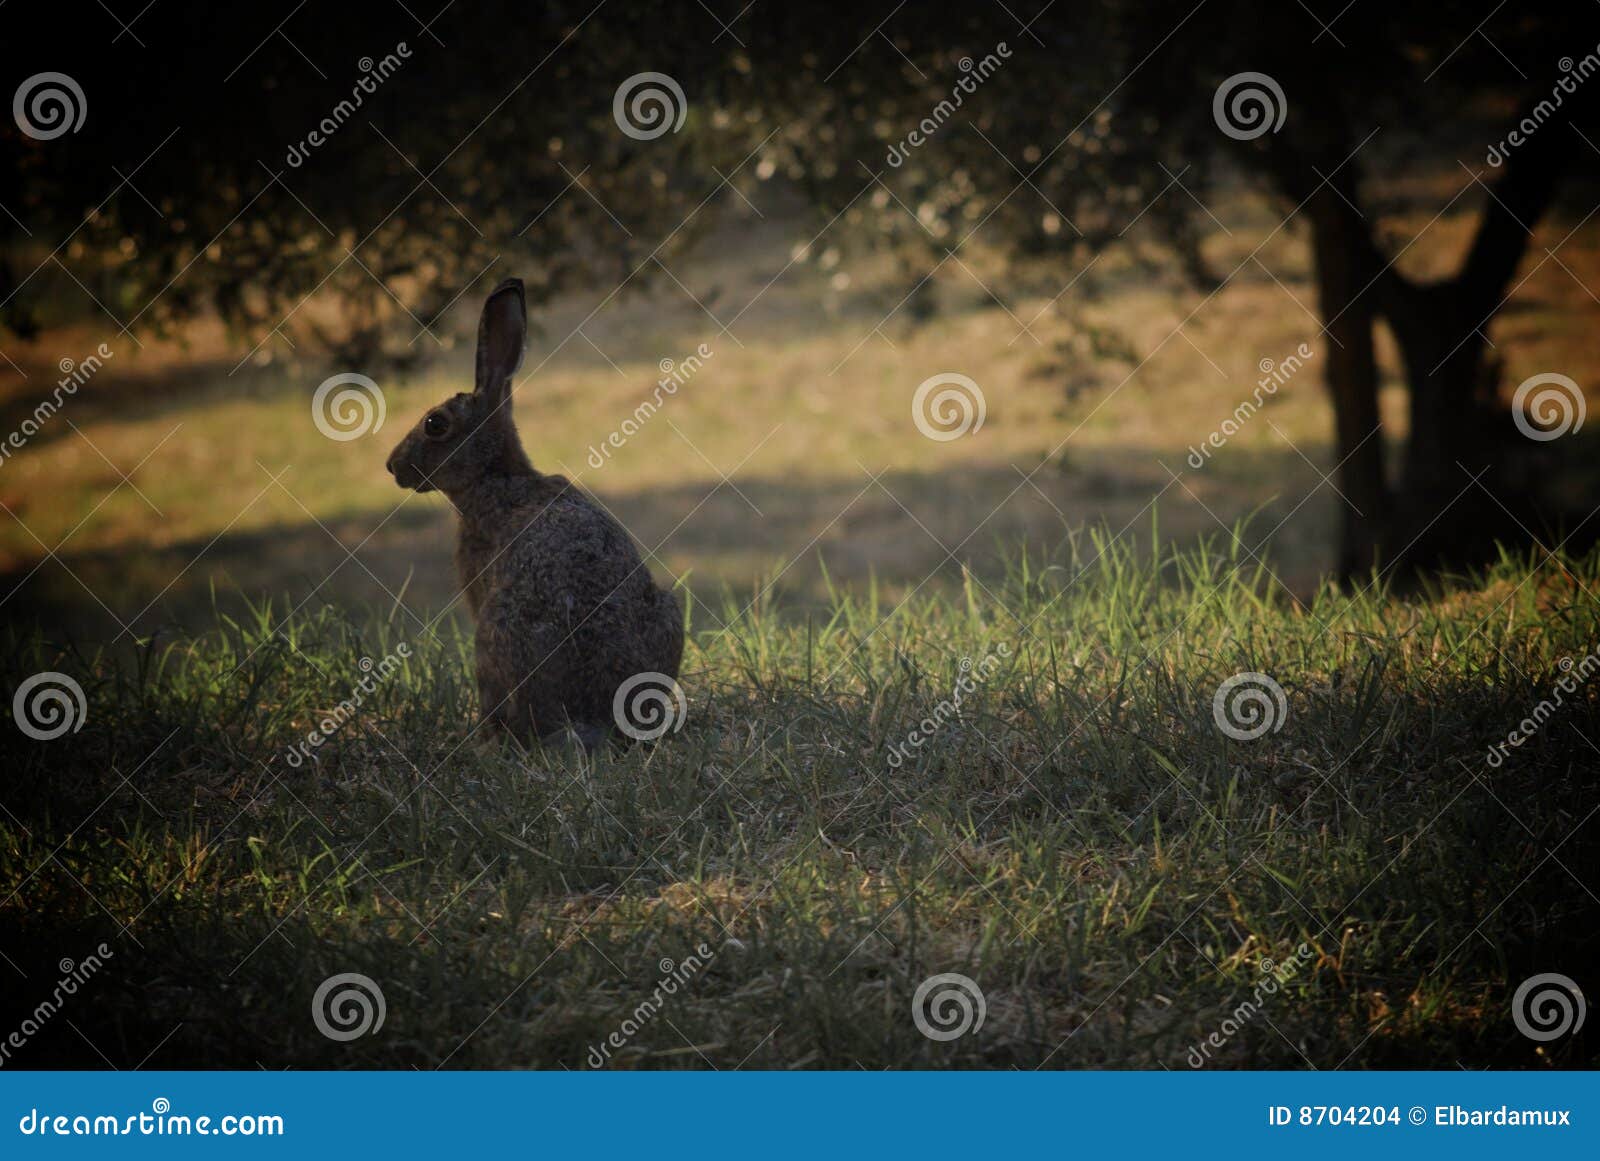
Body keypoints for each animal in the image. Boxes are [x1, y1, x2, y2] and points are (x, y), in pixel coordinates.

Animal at [385, 277, 684, 750]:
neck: (496, 476)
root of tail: (591, 718)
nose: (393, 466)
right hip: (670, 608)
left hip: (492, 635)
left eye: (435, 424)